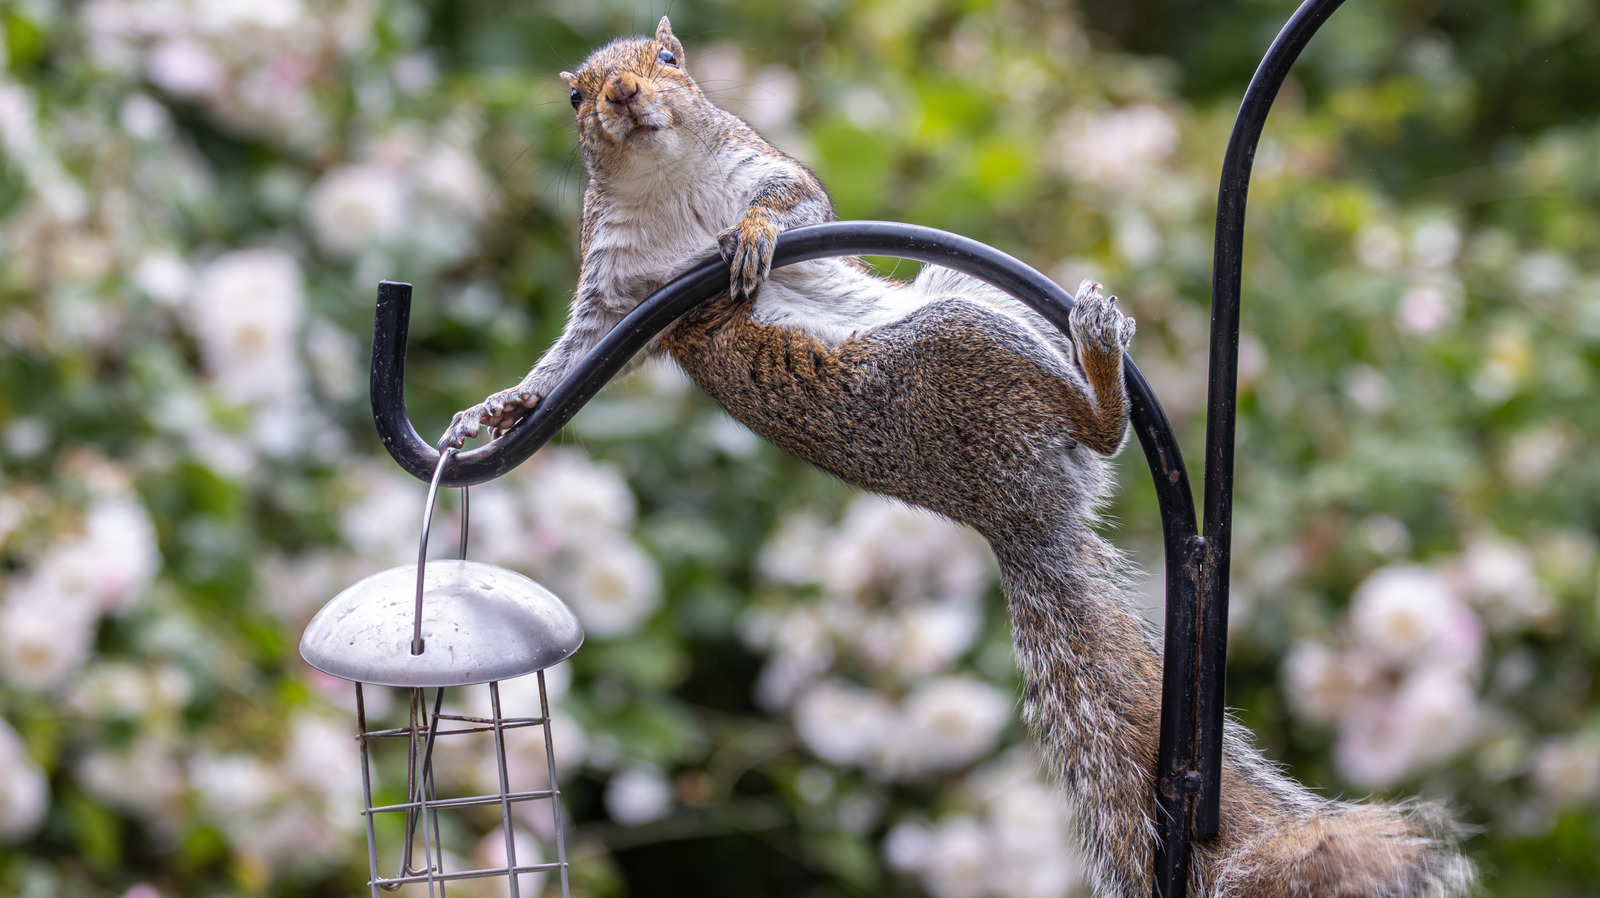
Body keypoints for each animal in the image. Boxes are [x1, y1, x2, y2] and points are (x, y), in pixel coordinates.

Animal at [444, 17, 1476, 898]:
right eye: (576, 98)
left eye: (668, 60)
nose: (622, 95)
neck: (662, 183)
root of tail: (1015, 514)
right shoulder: (617, 295)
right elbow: (568, 362)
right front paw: (498, 407)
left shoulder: (764, 171)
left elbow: (794, 202)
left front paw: (754, 236)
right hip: (960, 339)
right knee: (1102, 432)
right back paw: (1101, 358)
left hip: (963, 307)